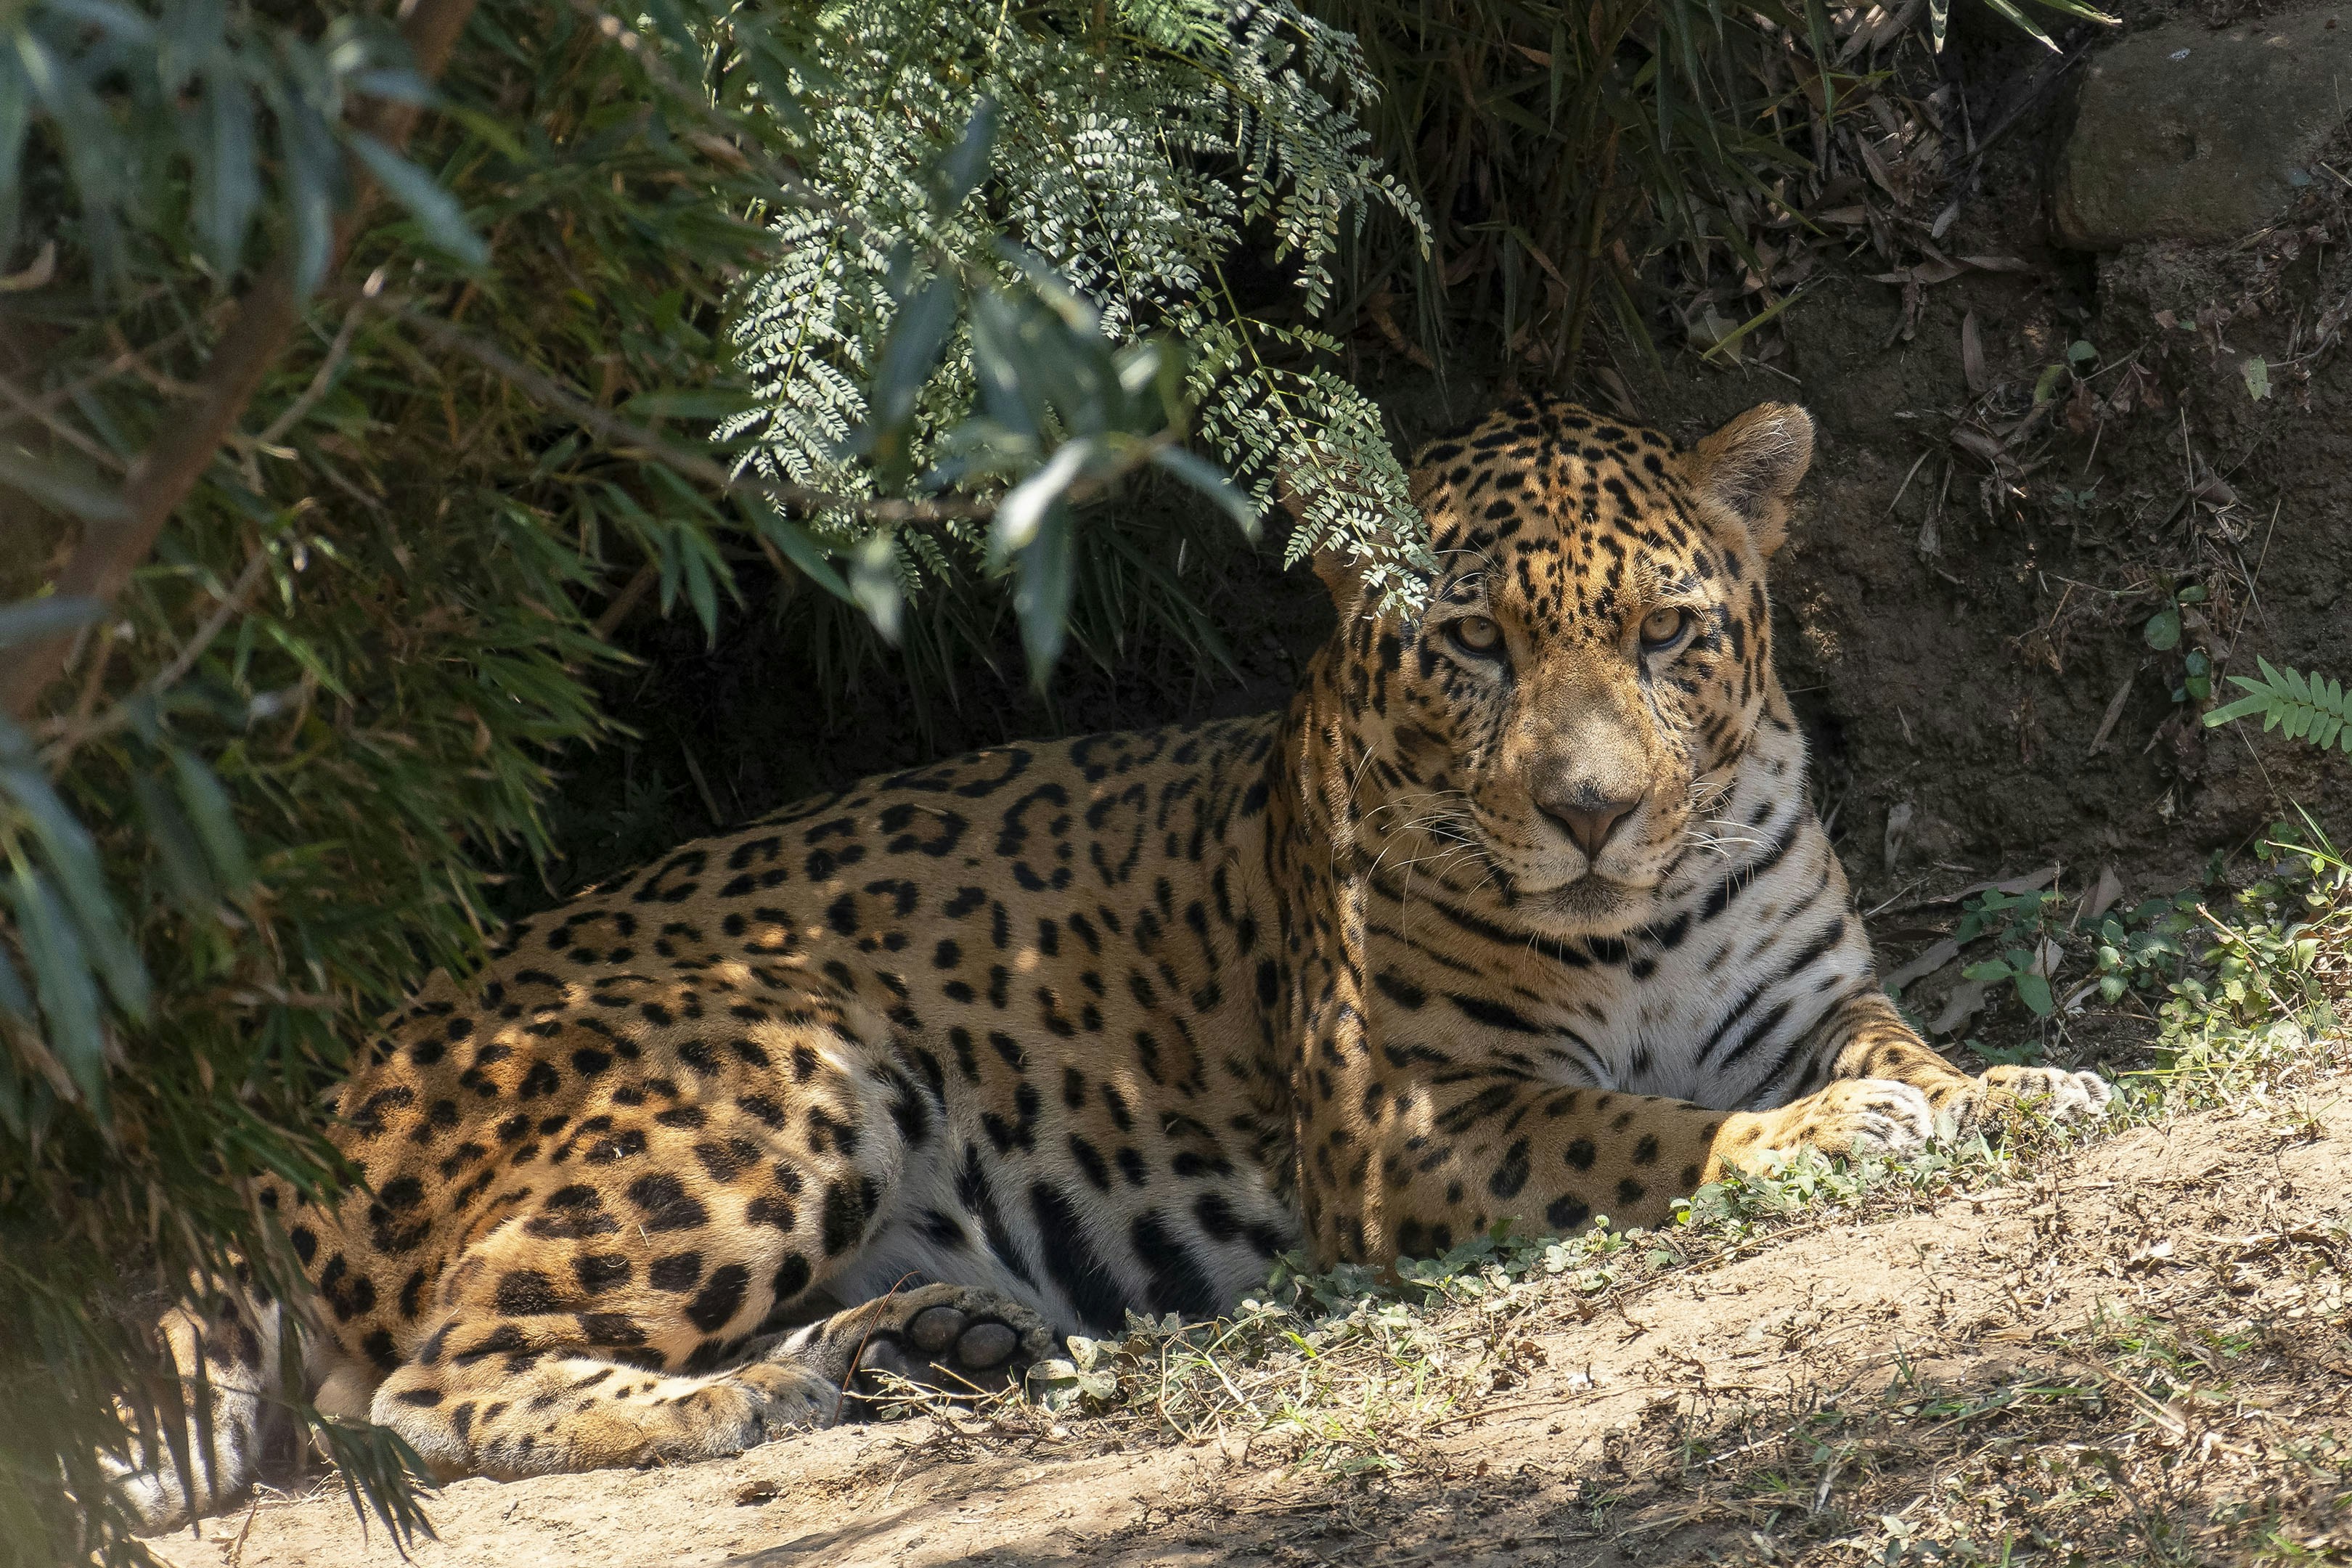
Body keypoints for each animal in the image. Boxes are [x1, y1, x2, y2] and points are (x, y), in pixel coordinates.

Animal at [117, 398, 2110, 1526]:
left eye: (1664, 635)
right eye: (1470, 644)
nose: (1595, 812)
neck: (1636, 922)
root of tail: (304, 1099)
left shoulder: (1803, 994)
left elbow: (1906, 1045)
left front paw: (2019, 1087)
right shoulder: (1405, 1121)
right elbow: (1638, 1134)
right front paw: (1829, 1141)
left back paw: (916, 1344)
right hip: (778, 1050)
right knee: (425, 1387)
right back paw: (773, 1393)